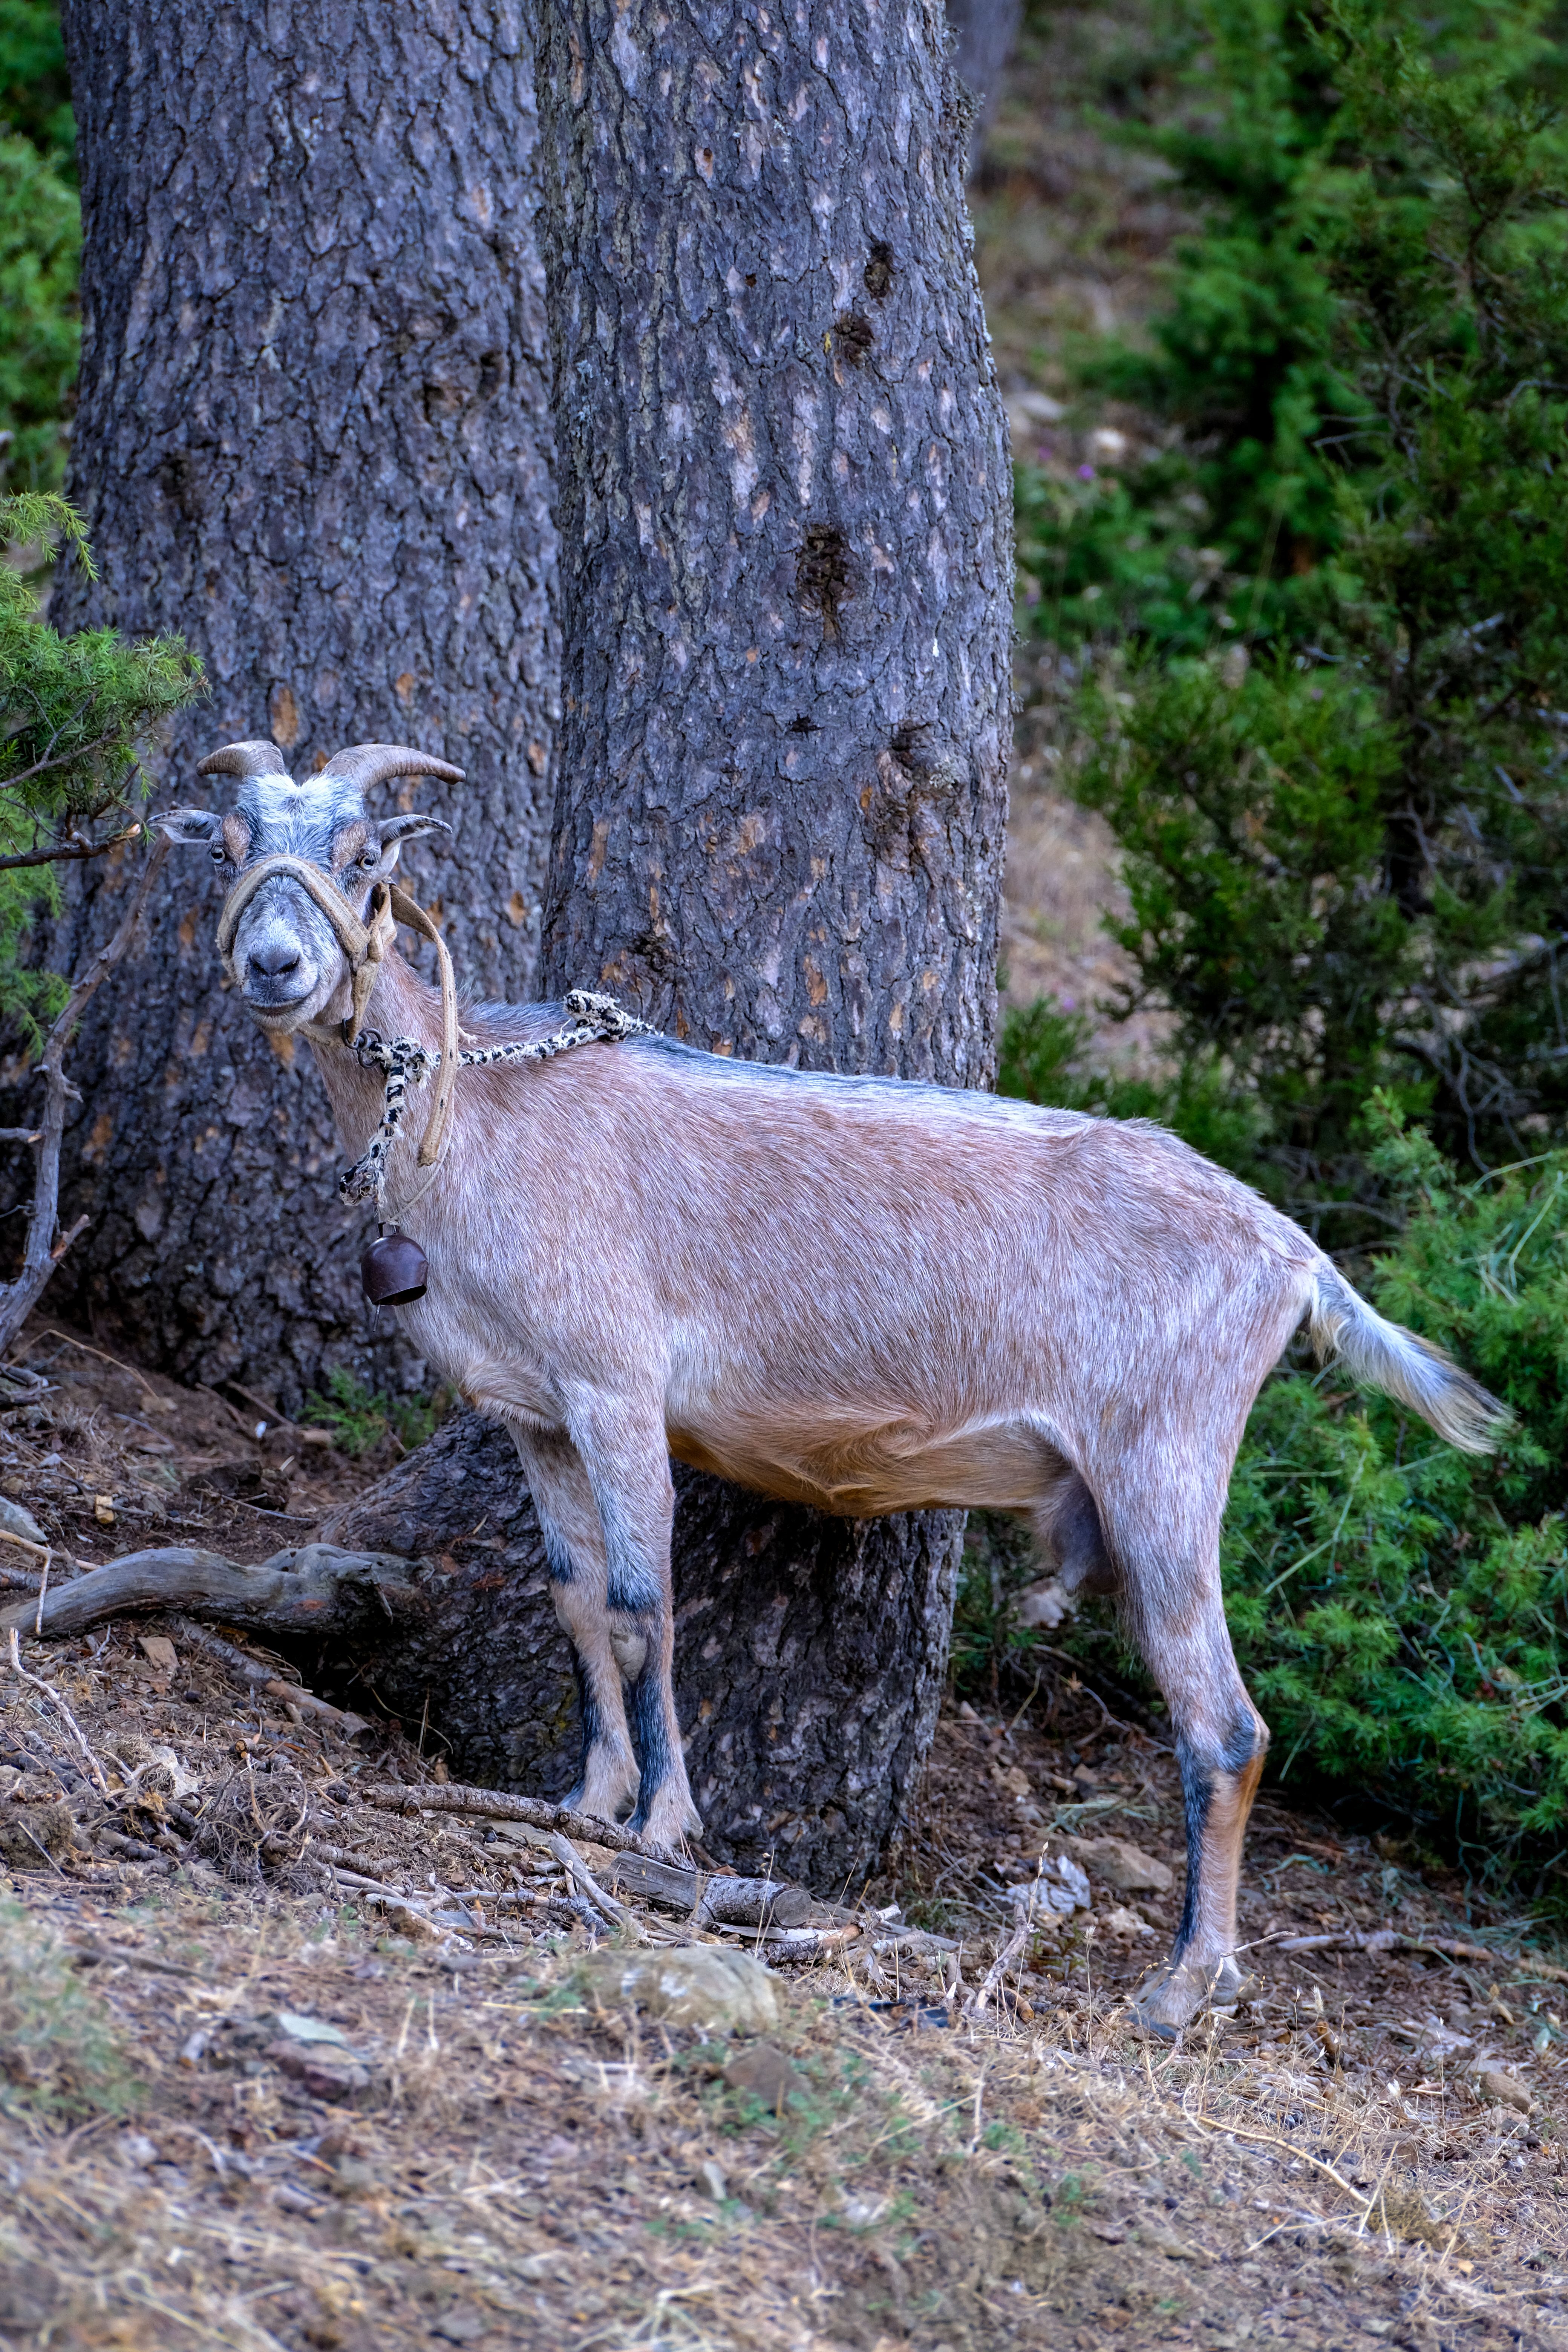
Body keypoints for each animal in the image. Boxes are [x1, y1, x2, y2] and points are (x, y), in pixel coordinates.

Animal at [157, 738, 1507, 2035]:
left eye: (364, 859)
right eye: (227, 845)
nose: (275, 964)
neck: (480, 1107)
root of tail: (1293, 1256)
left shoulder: (616, 1385)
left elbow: (646, 1603)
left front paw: (662, 1828)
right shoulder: (534, 1411)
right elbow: (574, 1597)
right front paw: (584, 1800)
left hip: (1165, 1458)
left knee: (1226, 1726)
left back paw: (1181, 1990)